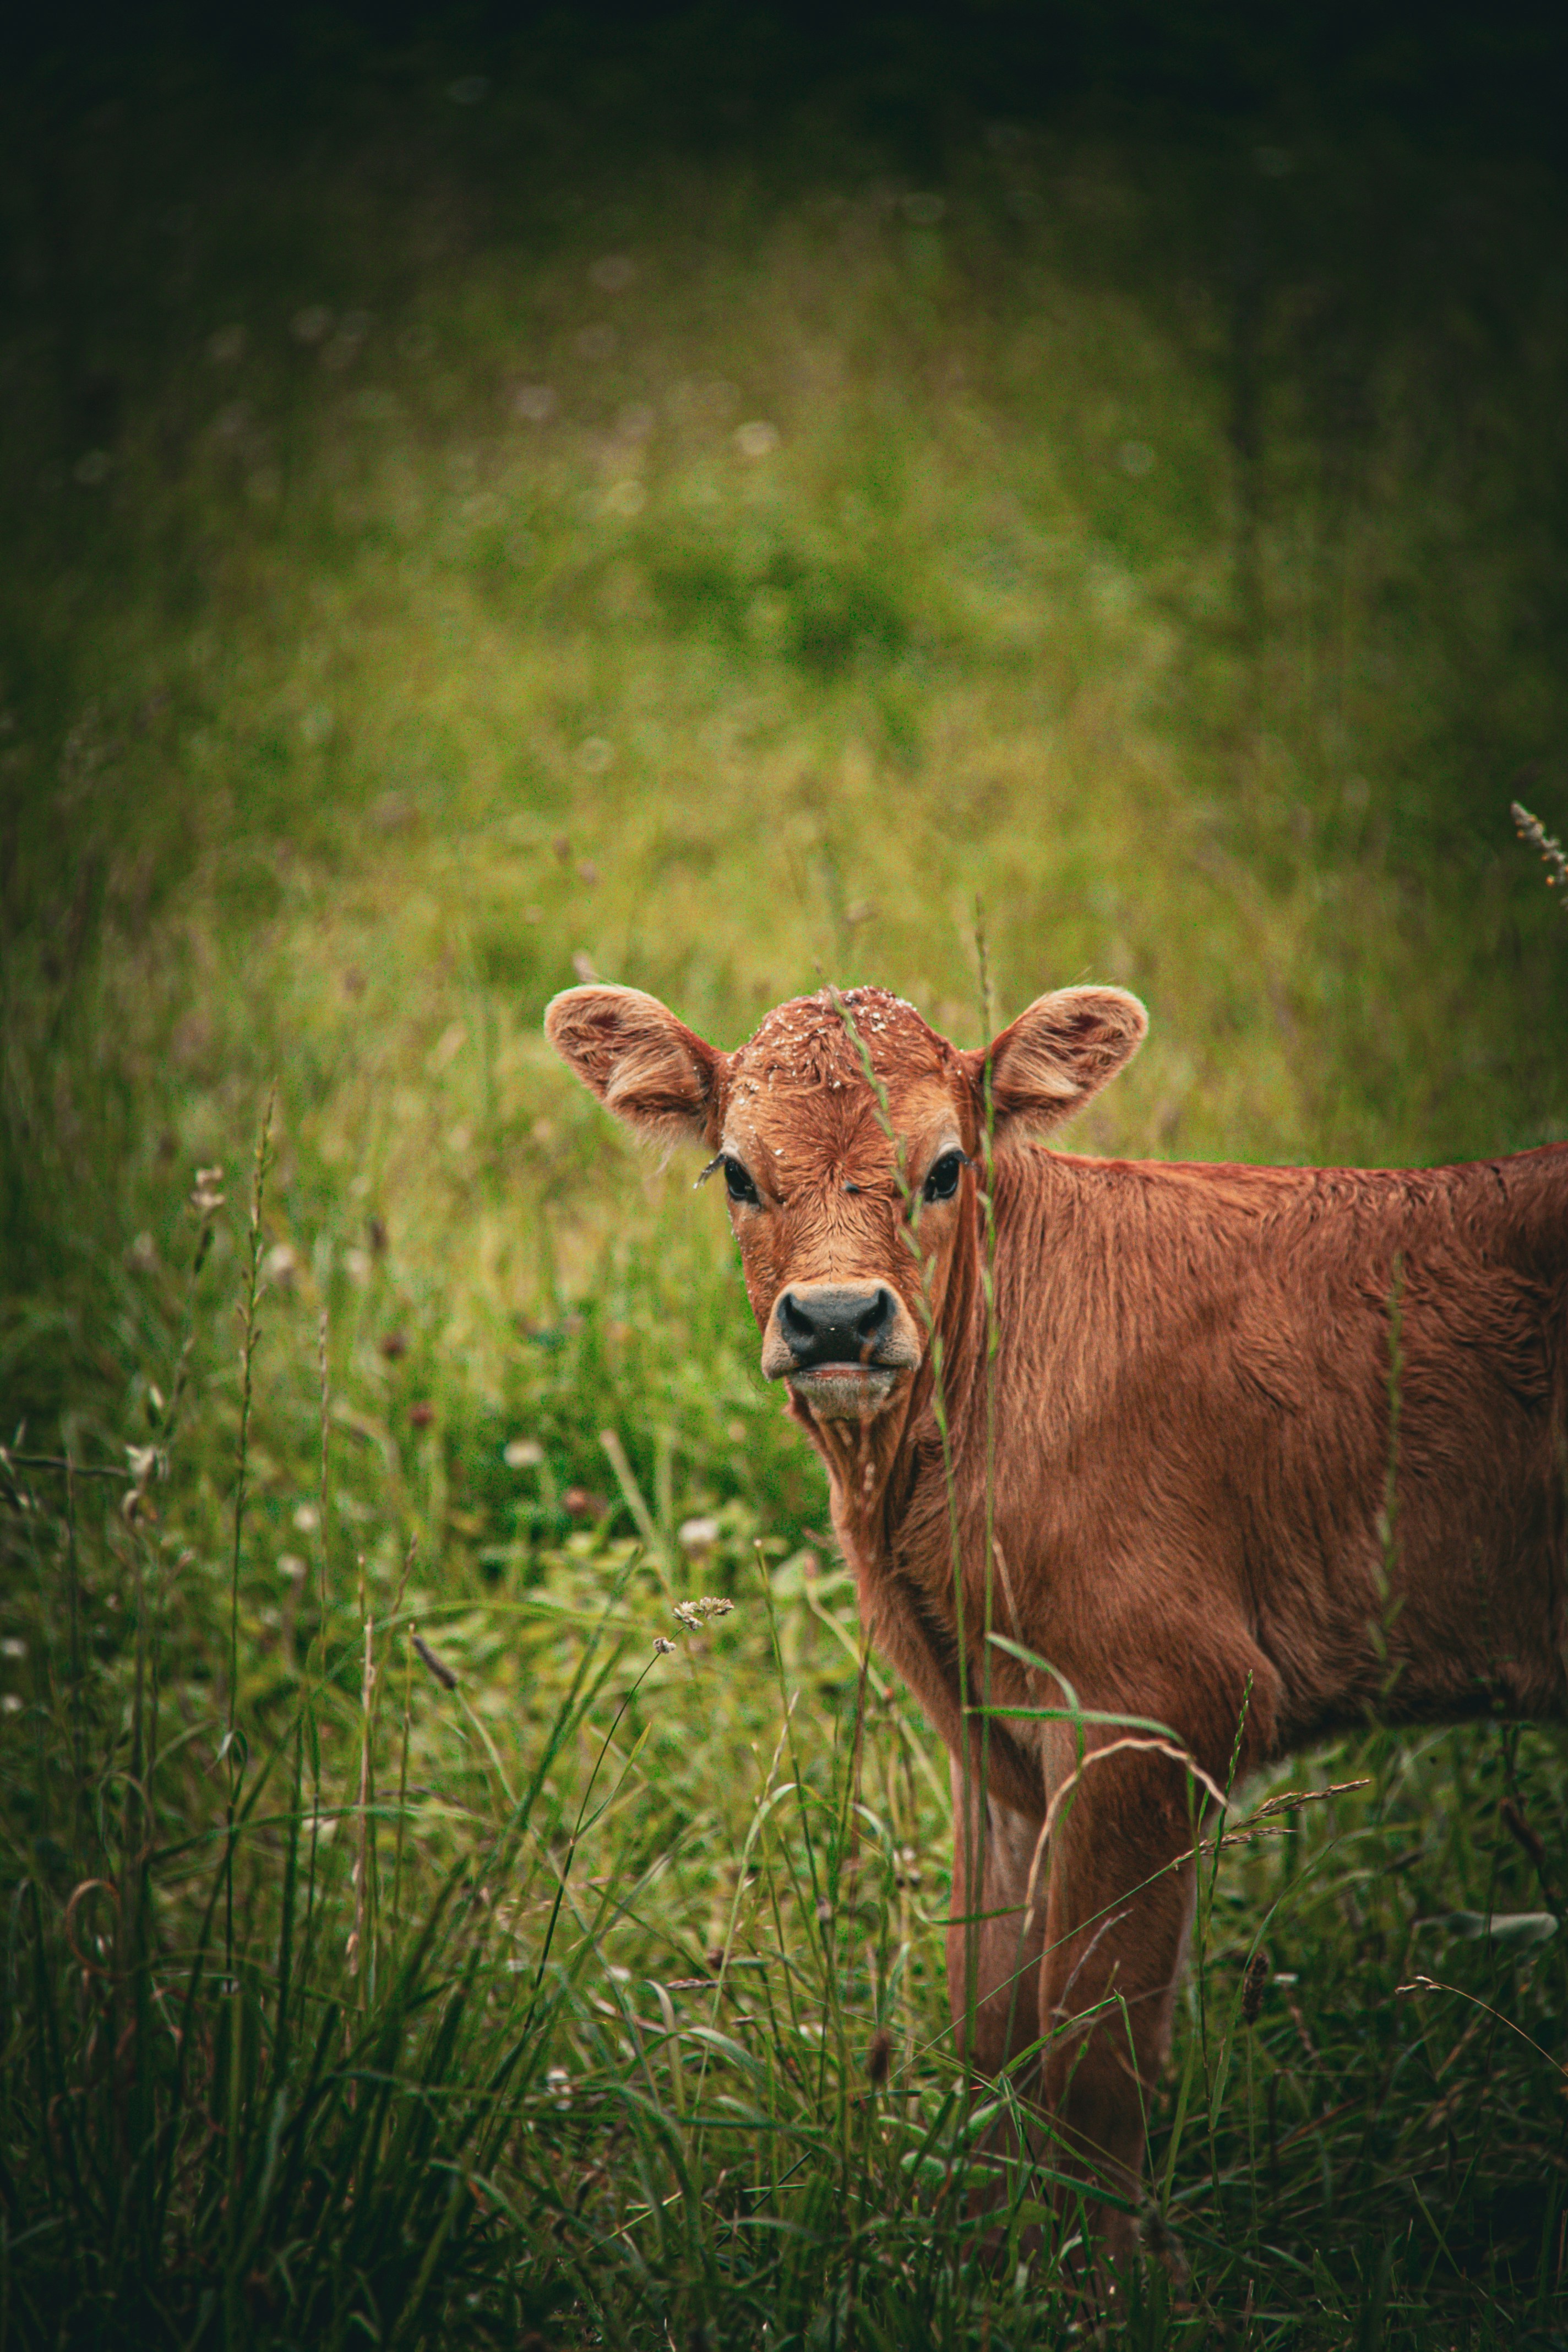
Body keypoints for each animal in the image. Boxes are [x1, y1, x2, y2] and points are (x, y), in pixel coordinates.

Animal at [544, 976, 1568, 2269]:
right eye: (735, 1171)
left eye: (944, 1167)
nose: (833, 1322)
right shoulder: (995, 1739)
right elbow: (993, 2022)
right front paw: (983, 2263)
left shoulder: (1155, 1709)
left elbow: (1091, 2054)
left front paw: (1096, 2284)